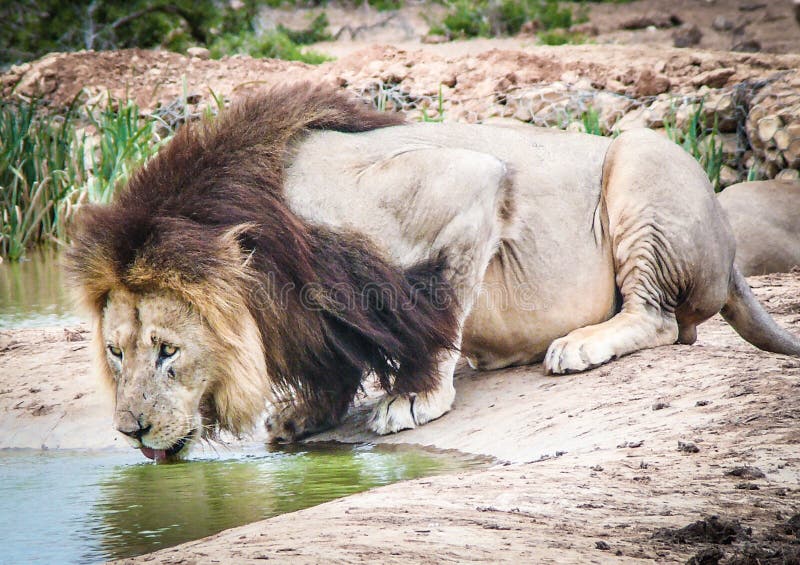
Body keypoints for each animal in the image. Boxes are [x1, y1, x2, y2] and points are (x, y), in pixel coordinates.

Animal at [66, 84, 800, 462]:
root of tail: (727, 246)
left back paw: (581, 344)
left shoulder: (466, 181)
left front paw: (415, 396)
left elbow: (444, 300)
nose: (130, 430)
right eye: (115, 352)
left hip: (643, 162)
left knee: (659, 318)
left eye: (168, 351)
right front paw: (305, 414)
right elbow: (336, 360)